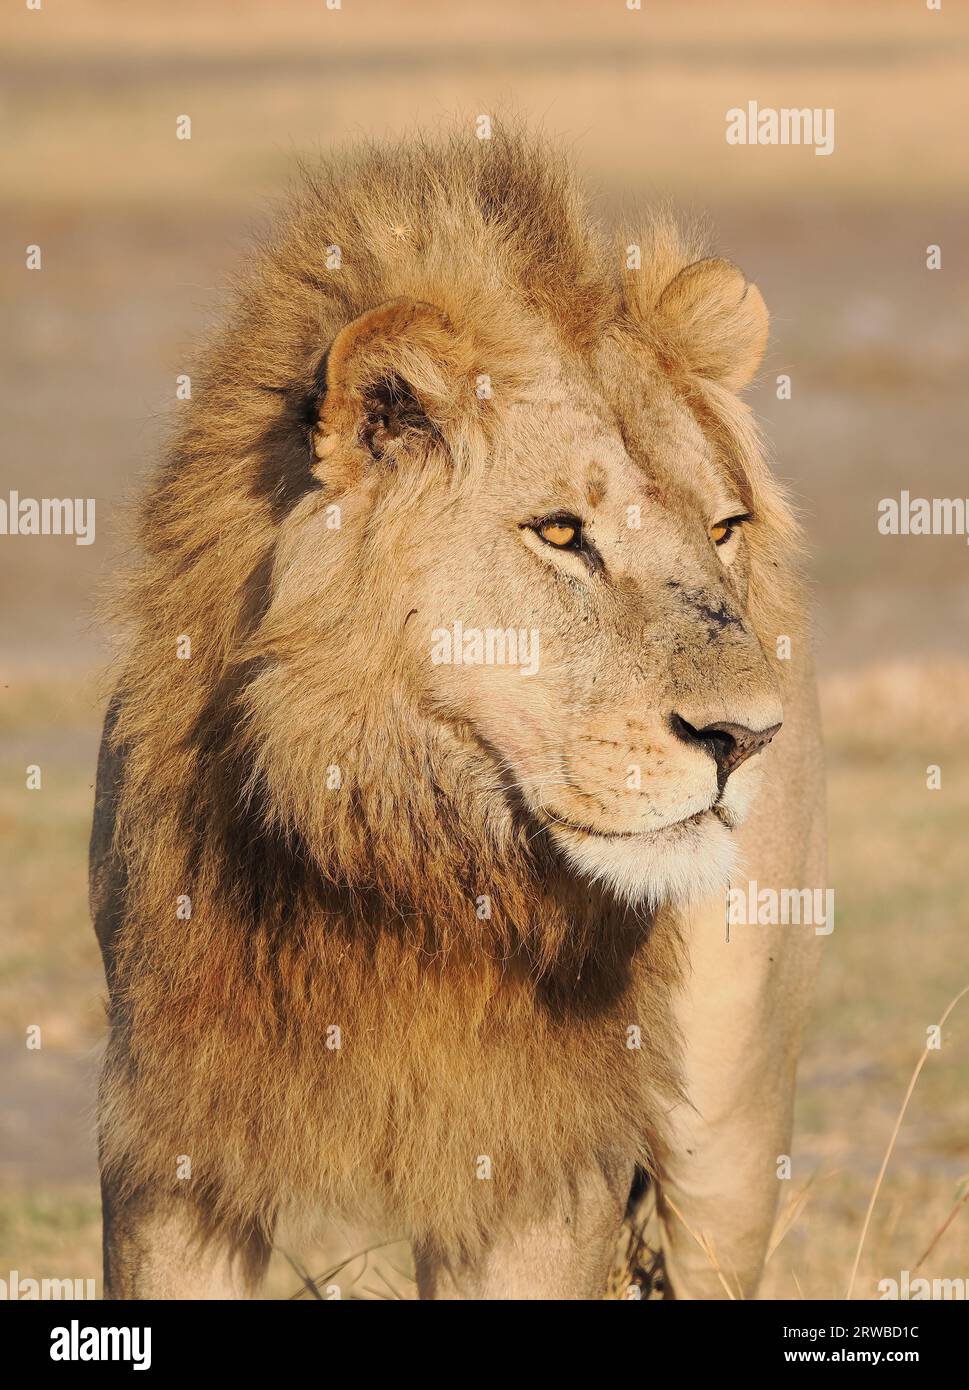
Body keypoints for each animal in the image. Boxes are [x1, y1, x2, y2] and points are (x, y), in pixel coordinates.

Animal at [90, 126, 825, 1300]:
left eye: (723, 528)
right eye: (562, 533)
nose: (746, 737)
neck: (394, 849)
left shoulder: (540, 1156)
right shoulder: (174, 1138)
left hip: (731, 1121)